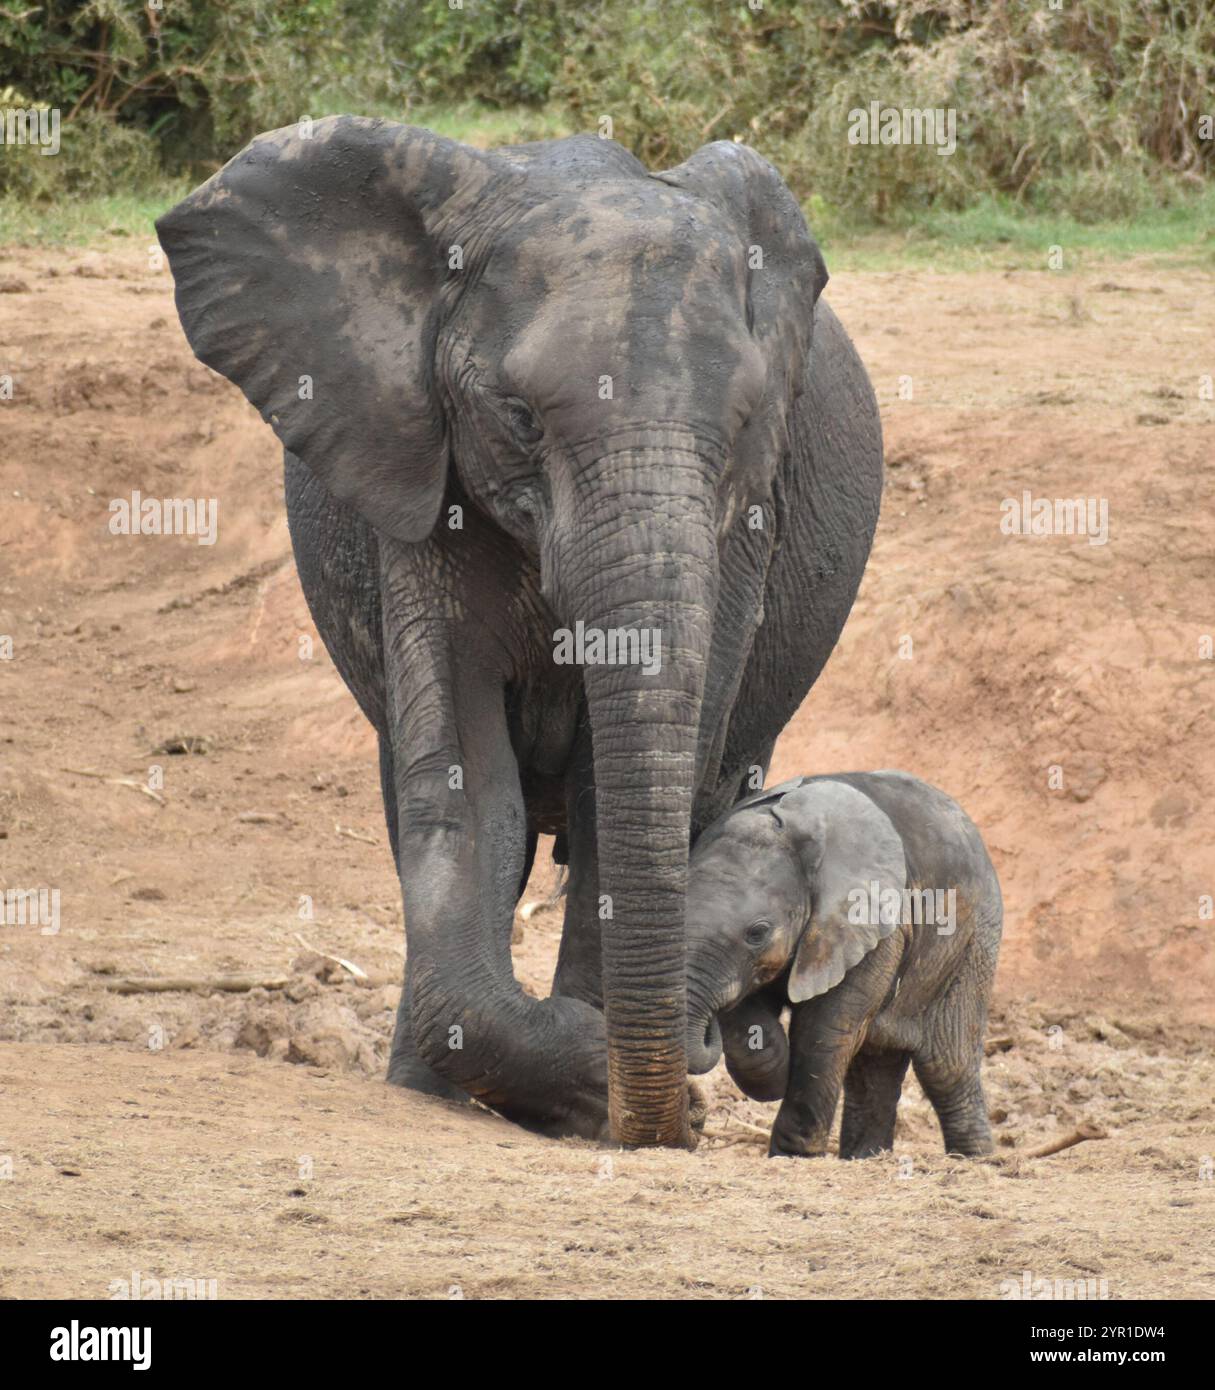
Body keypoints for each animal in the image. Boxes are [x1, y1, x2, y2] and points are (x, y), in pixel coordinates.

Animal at [155, 116, 883, 1147]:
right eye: (518, 416)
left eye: (747, 421)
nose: (698, 1060)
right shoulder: (419, 481)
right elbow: (467, 787)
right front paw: (590, 1076)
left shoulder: (749, 517)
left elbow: (615, 792)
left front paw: (606, 1095)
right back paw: (427, 1083)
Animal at [683, 772, 1002, 1158]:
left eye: (757, 933)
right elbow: (746, 1019)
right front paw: (776, 1064)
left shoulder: (877, 926)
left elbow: (823, 1029)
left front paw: (793, 1156)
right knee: (874, 1067)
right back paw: (865, 1158)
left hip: (975, 938)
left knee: (947, 1065)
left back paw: (977, 1160)